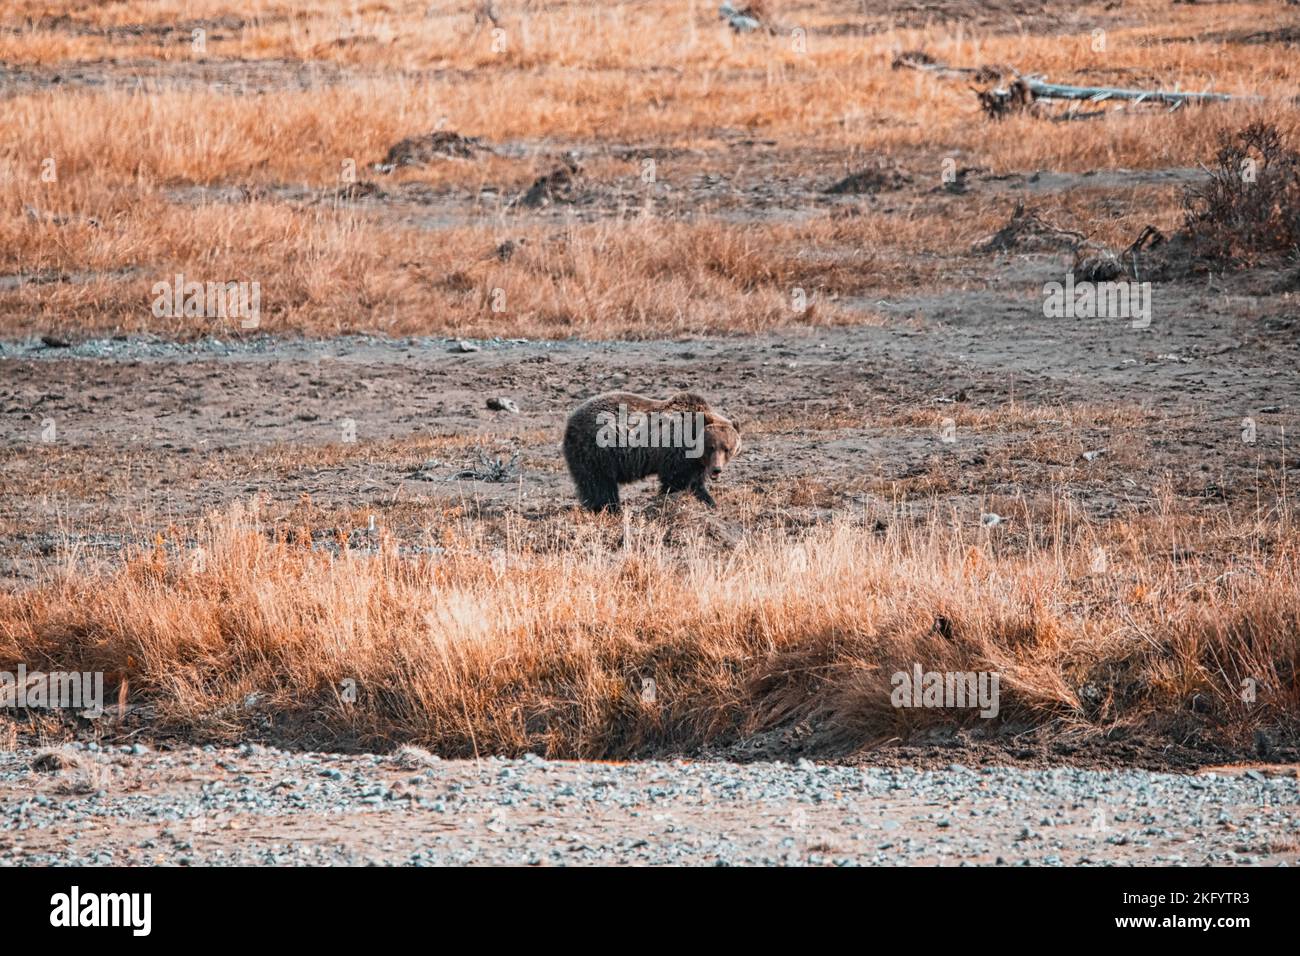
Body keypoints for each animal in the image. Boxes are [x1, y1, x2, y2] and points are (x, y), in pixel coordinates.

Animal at [562, 391, 742, 513]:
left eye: (727, 448)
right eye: (711, 446)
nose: (717, 469)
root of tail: (570, 422)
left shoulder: (695, 463)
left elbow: (696, 484)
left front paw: (710, 503)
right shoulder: (676, 452)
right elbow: (675, 481)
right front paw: (669, 501)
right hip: (597, 450)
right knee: (598, 484)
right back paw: (609, 509)